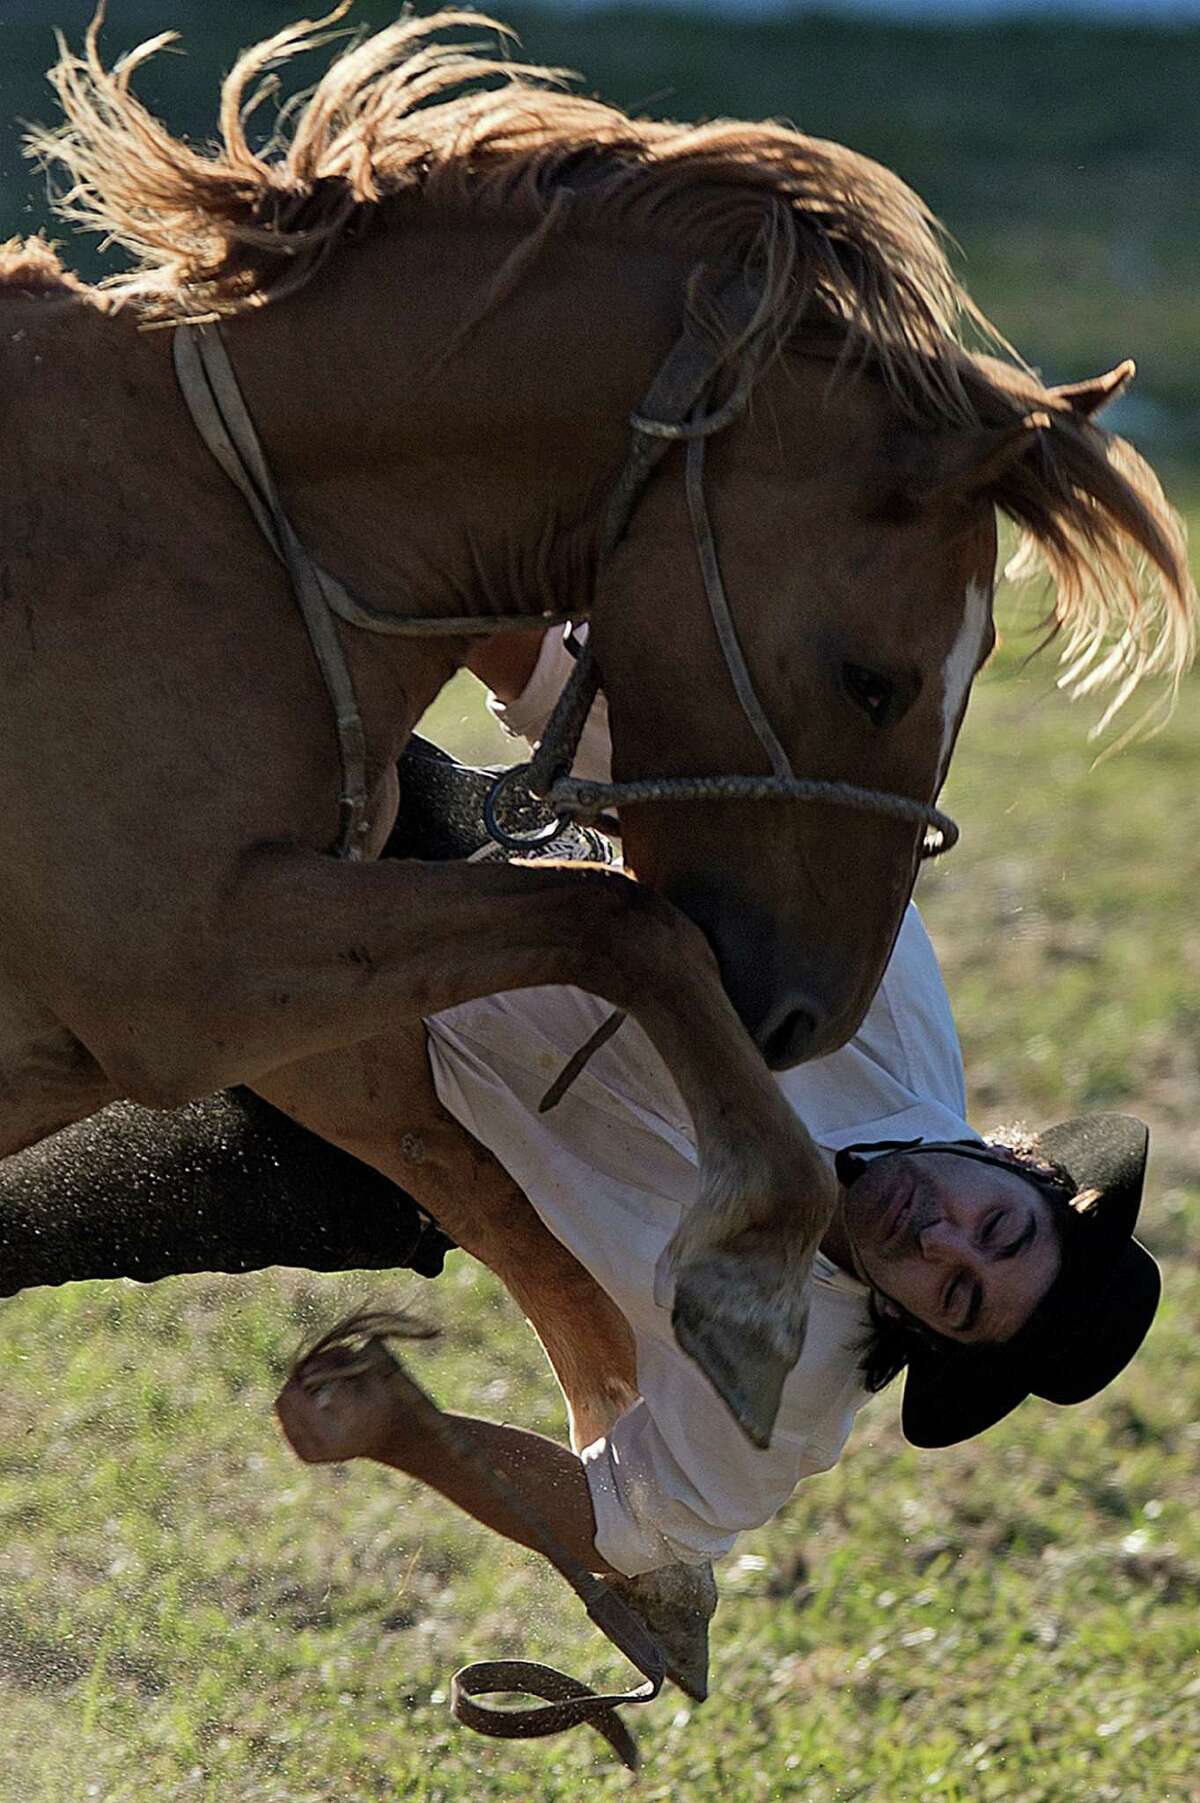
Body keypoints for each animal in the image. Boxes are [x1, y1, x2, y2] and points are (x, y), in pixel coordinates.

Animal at [1, 7, 1193, 1444]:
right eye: (875, 679)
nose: (806, 1020)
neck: (205, 519)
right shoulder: (189, 970)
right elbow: (620, 919)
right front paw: (750, 1281)